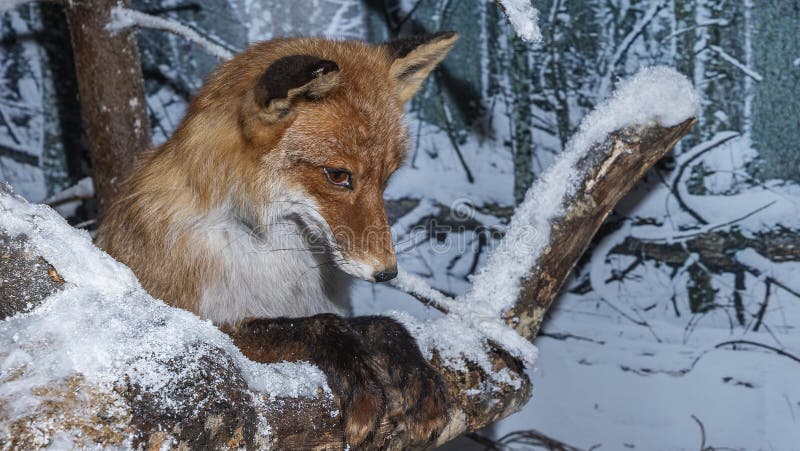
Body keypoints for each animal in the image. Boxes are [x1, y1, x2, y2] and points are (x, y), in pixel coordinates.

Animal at [96, 32, 459, 448]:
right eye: (338, 175)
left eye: (387, 178)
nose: (387, 273)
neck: (273, 255)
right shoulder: (205, 322)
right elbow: (320, 324)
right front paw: (360, 378)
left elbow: (383, 324)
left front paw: (416, 372)